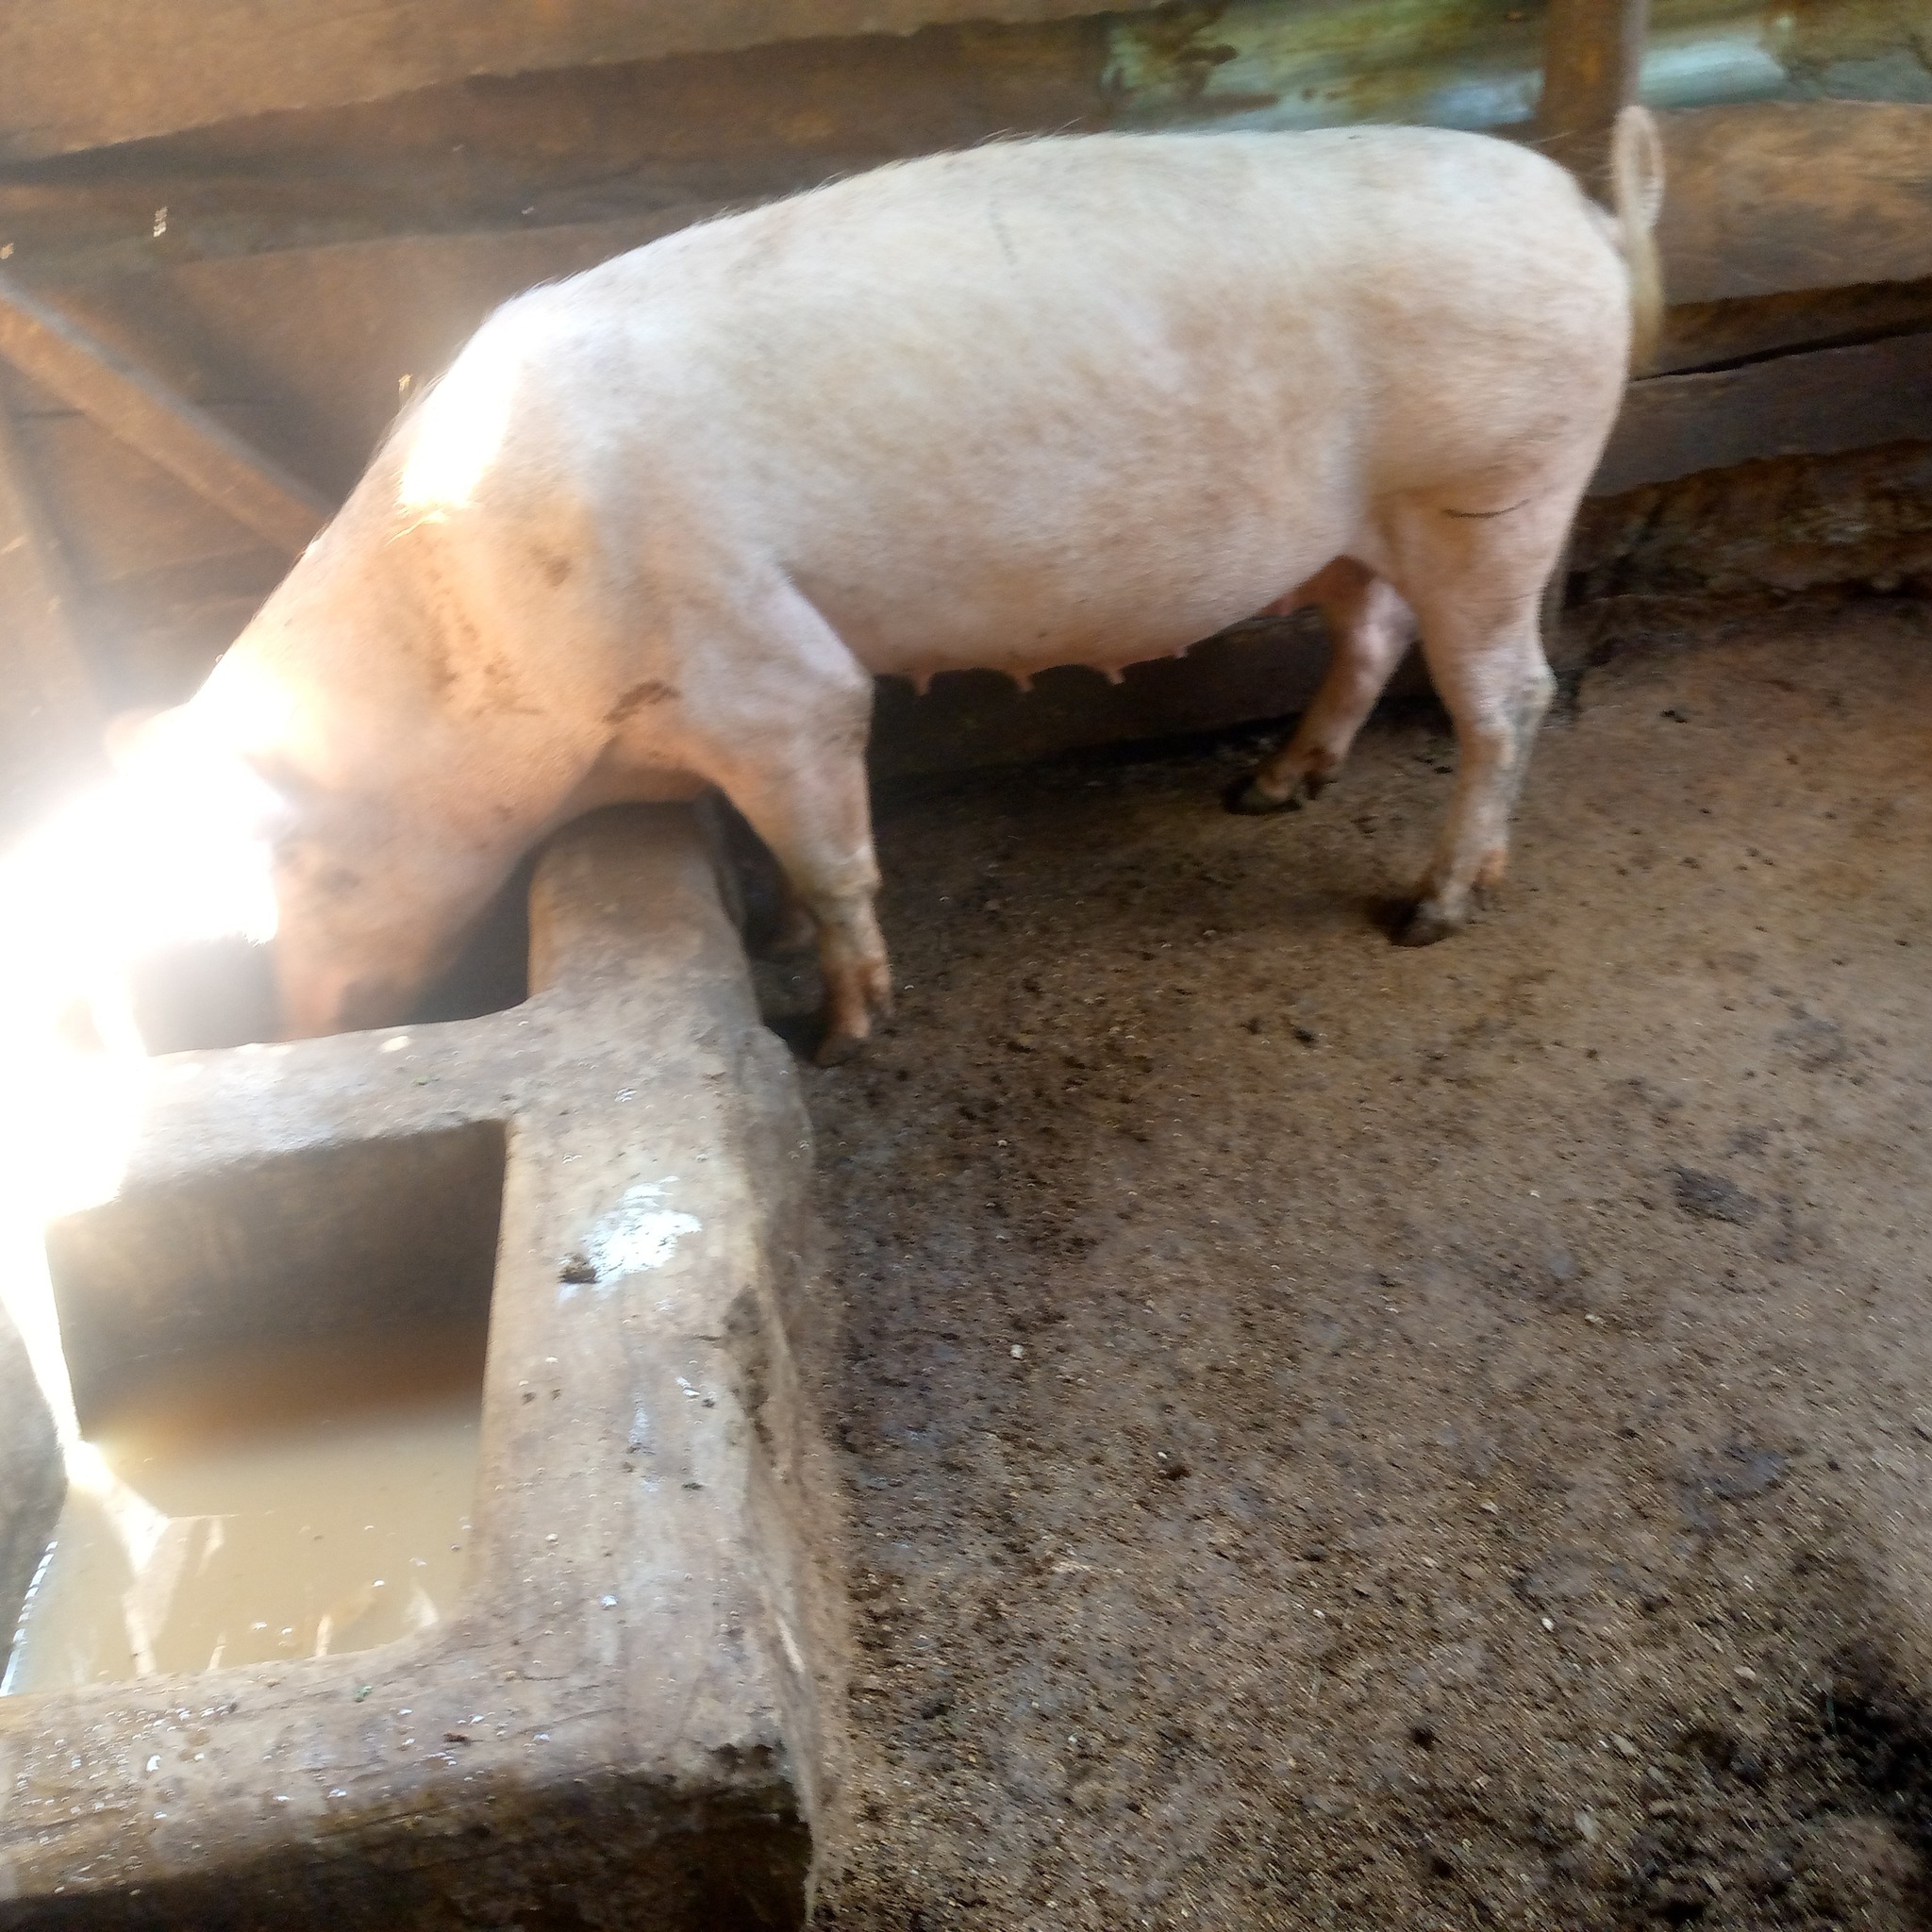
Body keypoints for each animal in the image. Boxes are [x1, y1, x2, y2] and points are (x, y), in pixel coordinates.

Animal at [138, 110, 1664, 1061]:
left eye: (317, 873)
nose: (302, 1027)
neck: (478, 624)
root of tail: (1587, 210)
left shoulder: (772, 675)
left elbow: (833, 851)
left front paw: (839, 1036)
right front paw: (753, 921)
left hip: (1499, 491)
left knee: (1507, 695)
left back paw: (1428, 913)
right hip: (1376, 525)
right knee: (1371, 632)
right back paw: (1268, 788)